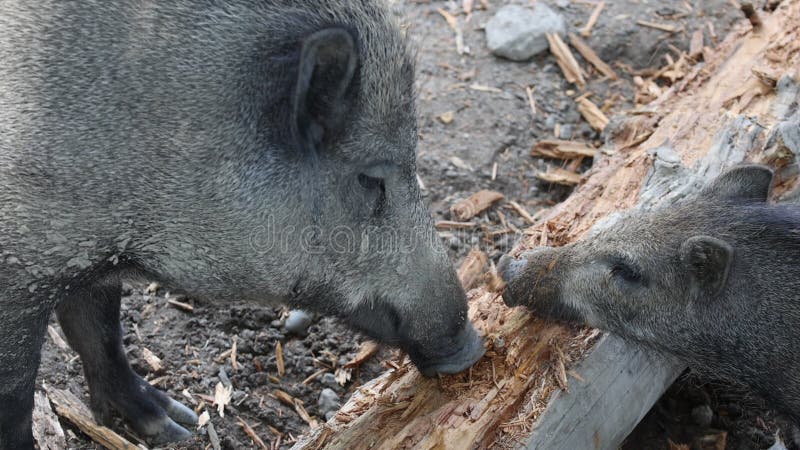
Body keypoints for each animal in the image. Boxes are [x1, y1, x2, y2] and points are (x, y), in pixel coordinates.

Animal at [0, 1, 485, 448]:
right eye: (370, 177)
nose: (471, 347)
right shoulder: (28, 267)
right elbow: (16, 393)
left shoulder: (85, 252)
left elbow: (100, 334)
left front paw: (177, 424)